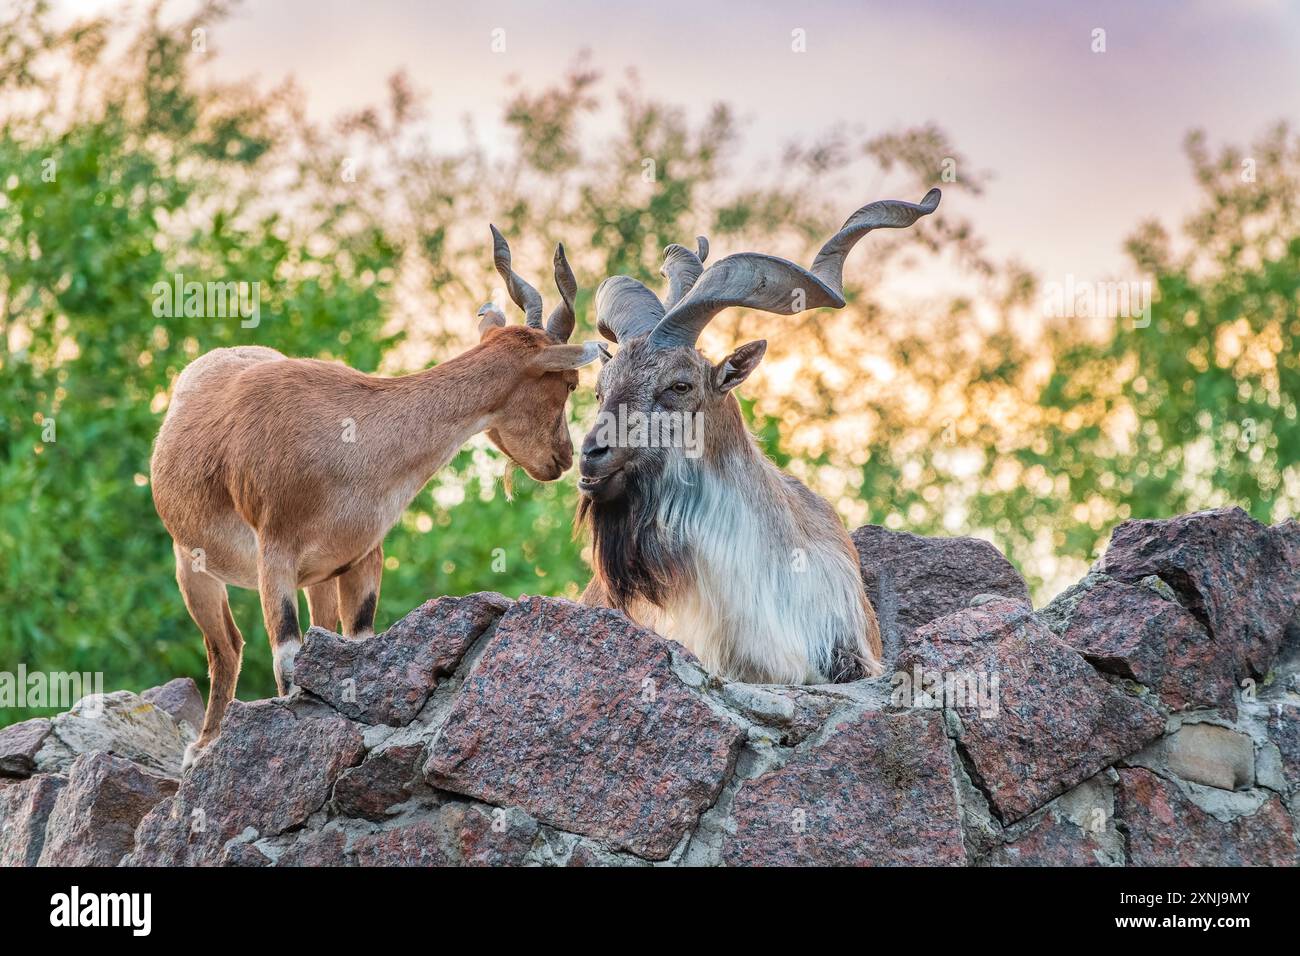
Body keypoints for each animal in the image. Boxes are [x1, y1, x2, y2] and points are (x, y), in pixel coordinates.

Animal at [151, 227, 601, 767]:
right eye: (570, 382)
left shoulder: (362, 558)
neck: (348, 437)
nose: (562, 459)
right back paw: (204, 745)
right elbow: (286, 658)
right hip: (191, 564)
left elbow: (356, 644)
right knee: (227, 647)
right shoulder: (274, 554)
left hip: (317, 578)